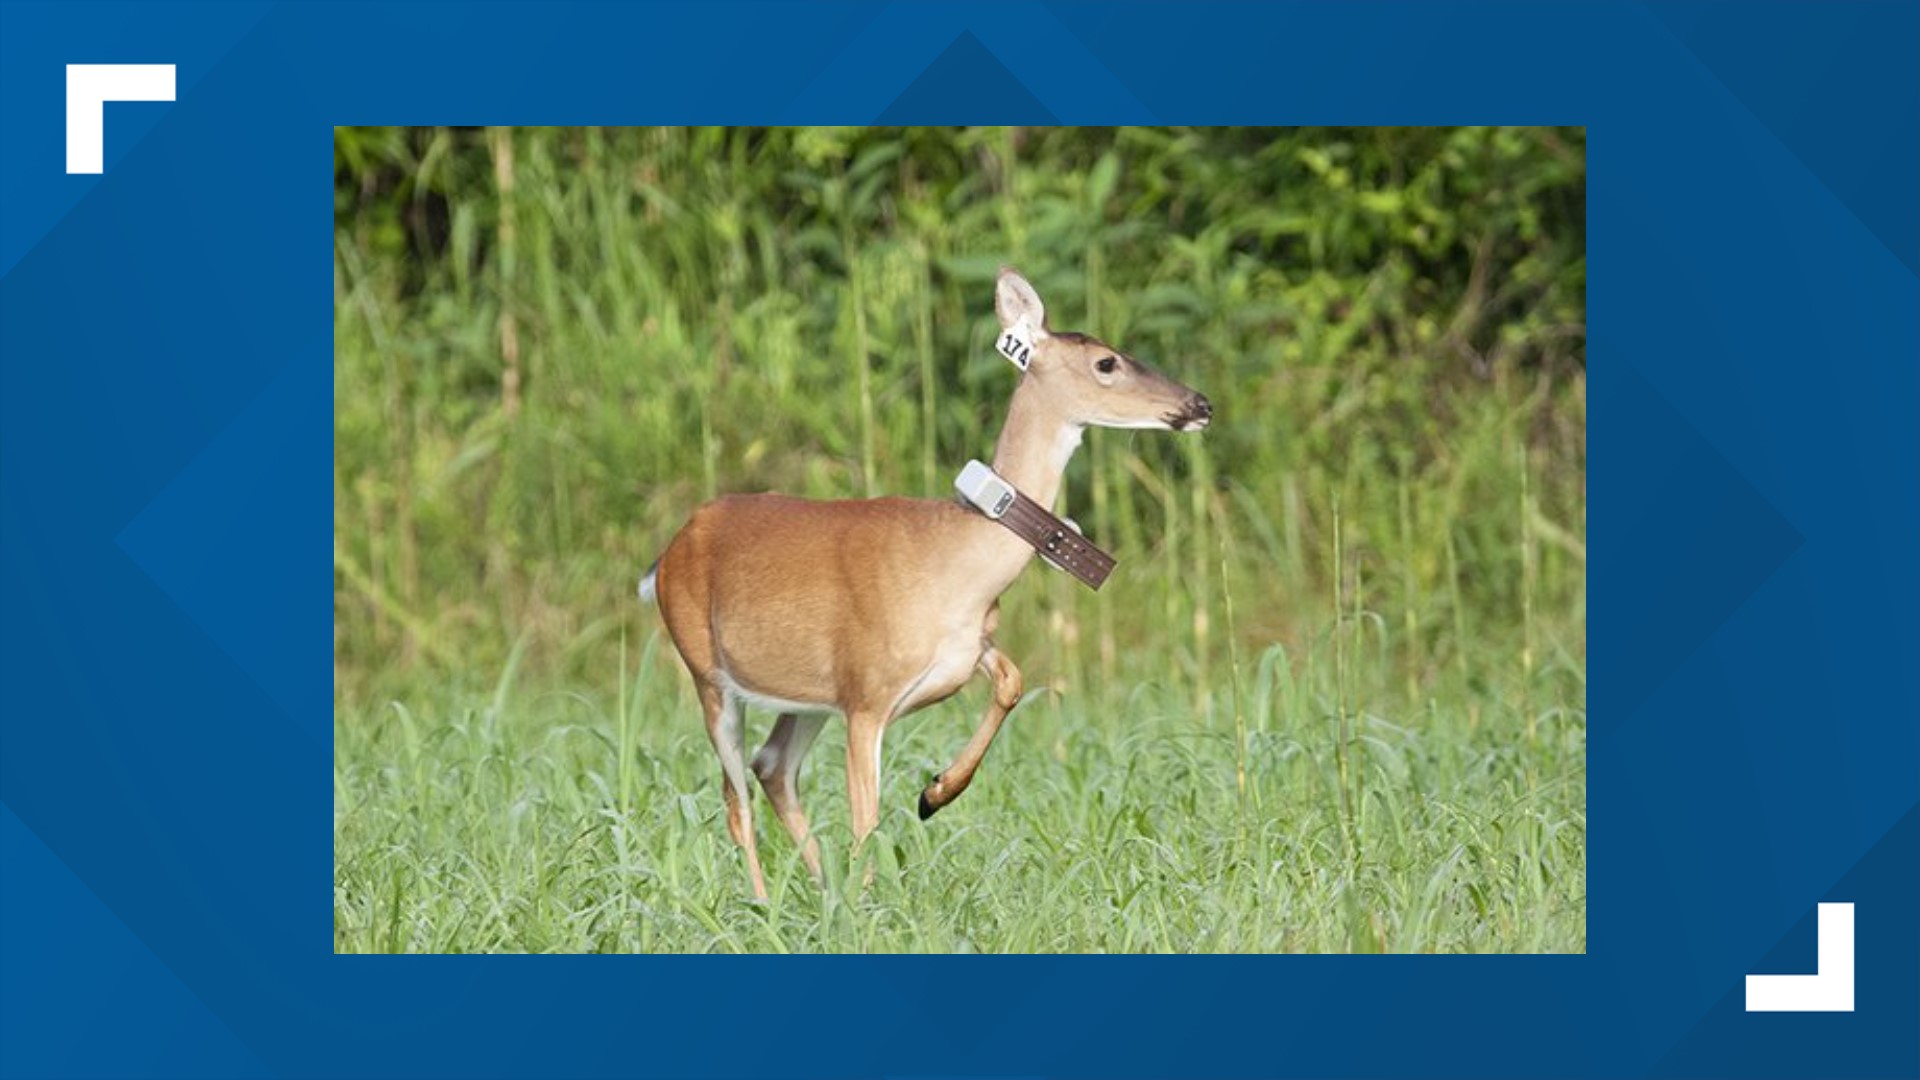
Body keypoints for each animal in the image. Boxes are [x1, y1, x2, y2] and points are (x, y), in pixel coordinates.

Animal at [638, 267, 1211, 899]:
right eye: (1107, 362)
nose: (1200, 403)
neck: (959, 559)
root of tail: (665, 555)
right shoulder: (866, 692)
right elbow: (866, 819)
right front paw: (874, 898)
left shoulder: (961, 647)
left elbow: (1012, 680)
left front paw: (934, 794)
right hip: (707, 673)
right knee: (736, 797)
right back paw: (769, 905)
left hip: (806, 692)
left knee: (773, 766)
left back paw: (823, 890)